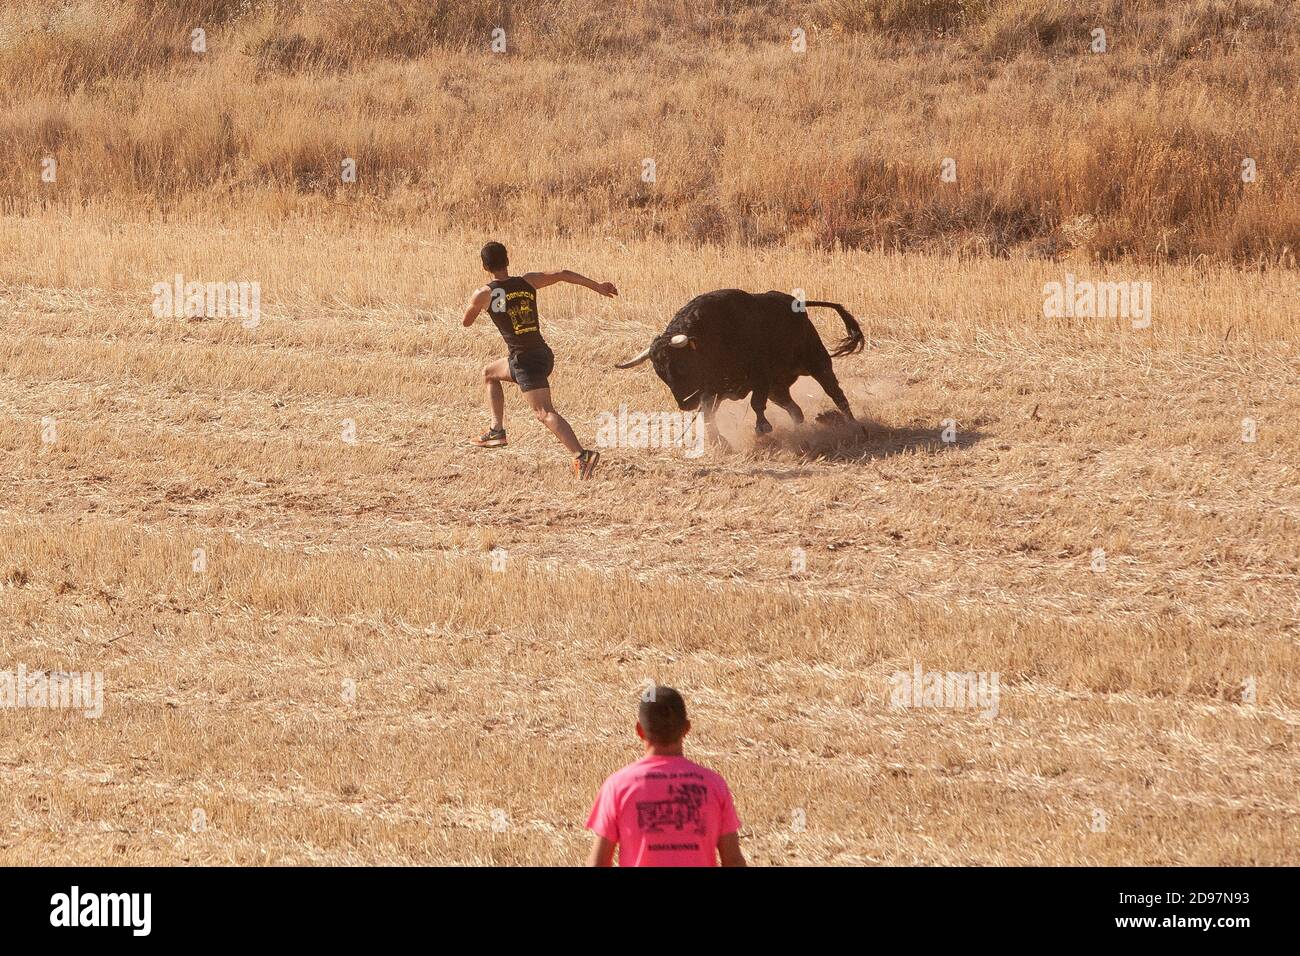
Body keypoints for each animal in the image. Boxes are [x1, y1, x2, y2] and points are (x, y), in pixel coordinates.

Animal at [614, 289, 865, 447]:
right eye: (661, 374)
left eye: (682, 365)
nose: (685, 405)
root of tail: (798, 305)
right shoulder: (713, 389)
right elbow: (708, 414)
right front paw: (718, 441)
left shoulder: (760, 376)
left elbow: (755, 404)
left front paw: (762, 428)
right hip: (778, 390)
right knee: (796, 411)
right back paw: (801, 433)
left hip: (818, 363)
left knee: (837, 395)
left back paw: (853, 426)